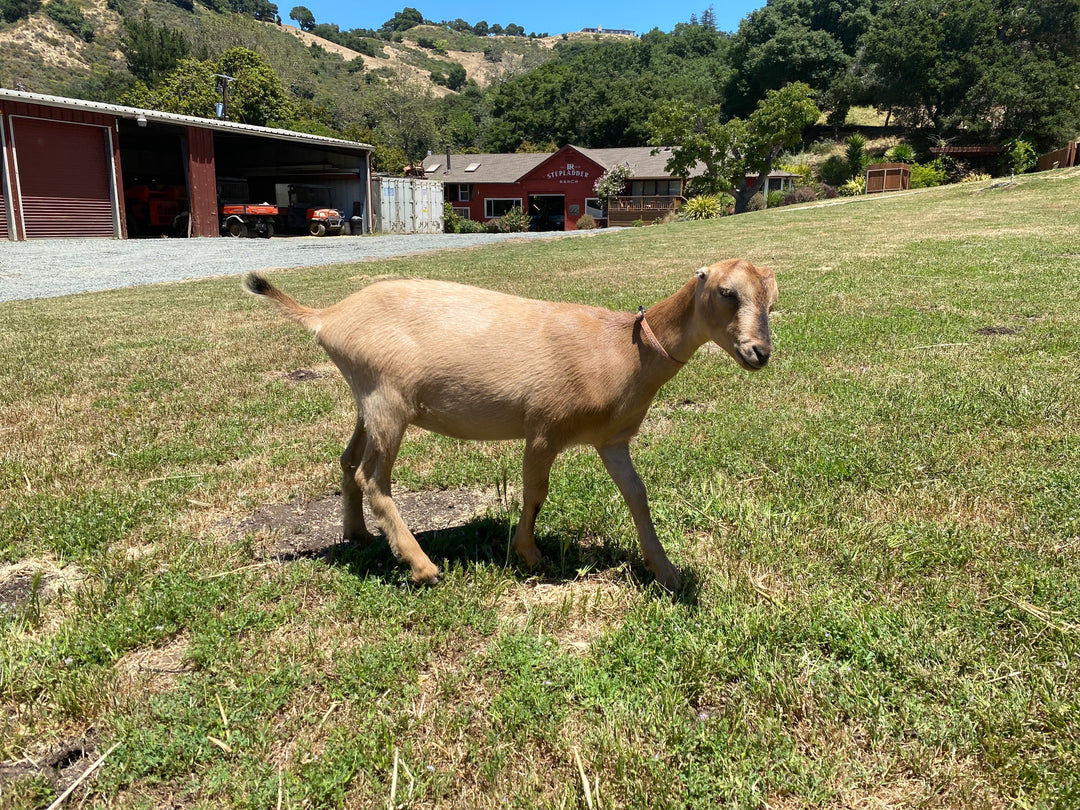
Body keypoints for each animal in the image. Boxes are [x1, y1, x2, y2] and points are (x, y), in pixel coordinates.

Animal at [243, 259, 777, 591]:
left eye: (772, 298)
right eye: (726, 292)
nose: (759, 353)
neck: (625, 350)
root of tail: (327, 317)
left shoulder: (612, 440)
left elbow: (636, 495)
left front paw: (665, 572)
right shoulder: (545, 426)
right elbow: (535, 491)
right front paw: (528, 554)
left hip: (366, 399)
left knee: (348, 460)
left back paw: (358, 536)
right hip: (388, 399)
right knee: (372, 477)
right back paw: (422, 566)